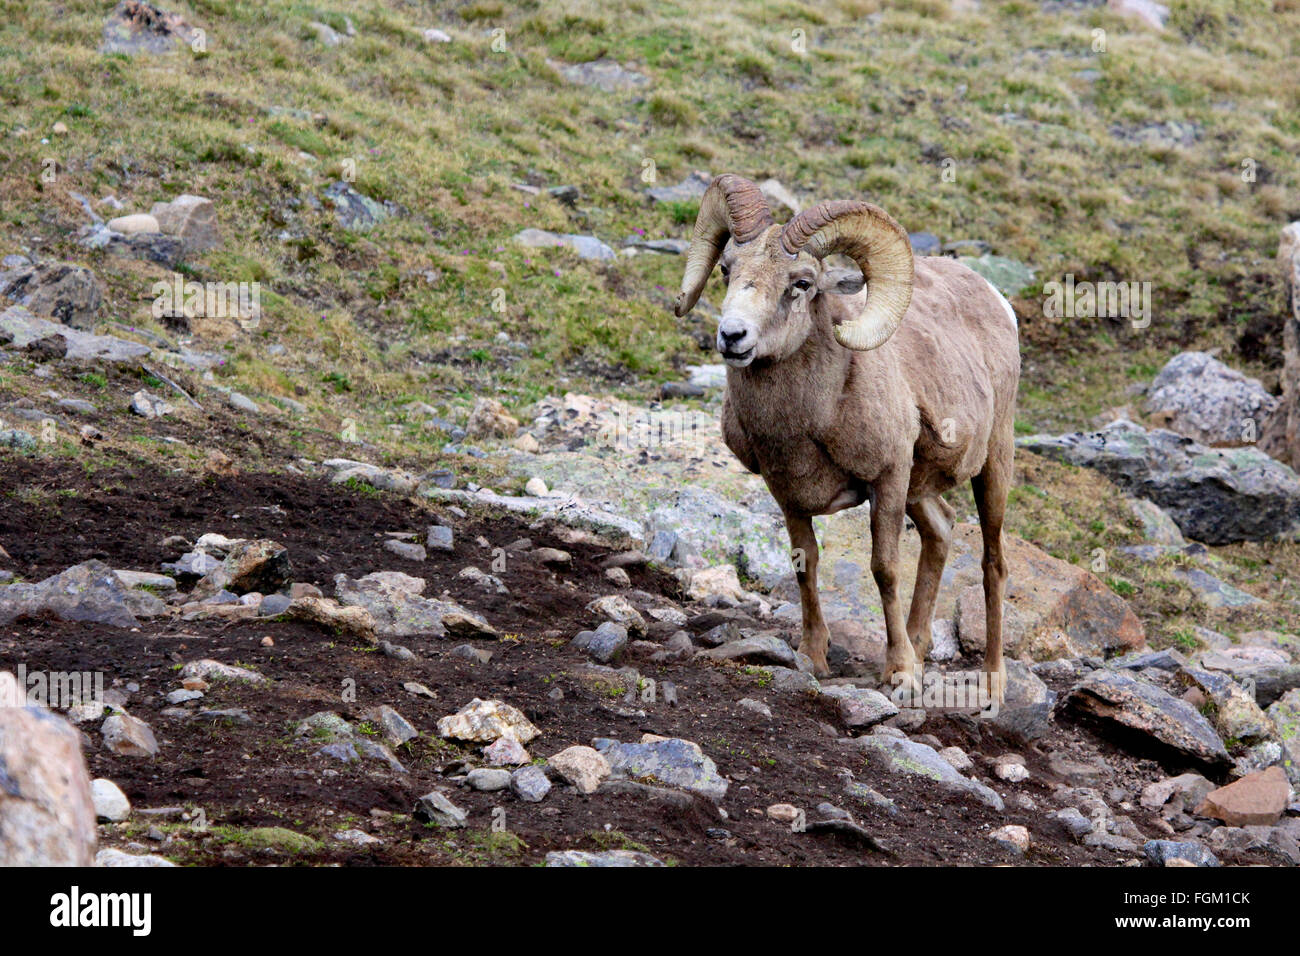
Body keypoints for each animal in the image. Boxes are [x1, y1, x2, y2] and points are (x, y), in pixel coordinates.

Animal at [674, 175, 1021, 701]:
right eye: (727, 270)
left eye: (801, 284)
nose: (733, 336)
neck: (810, 418)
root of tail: (998, 302)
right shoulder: (787, 492)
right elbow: (805, 563)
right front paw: (814, 657)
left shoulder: (888, 478)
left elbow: (885, 569)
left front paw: (899, 675)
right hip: (921, 489)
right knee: (941, 531)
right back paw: (920, 649)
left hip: (993, 464)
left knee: (993, 563)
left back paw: (993, 685)